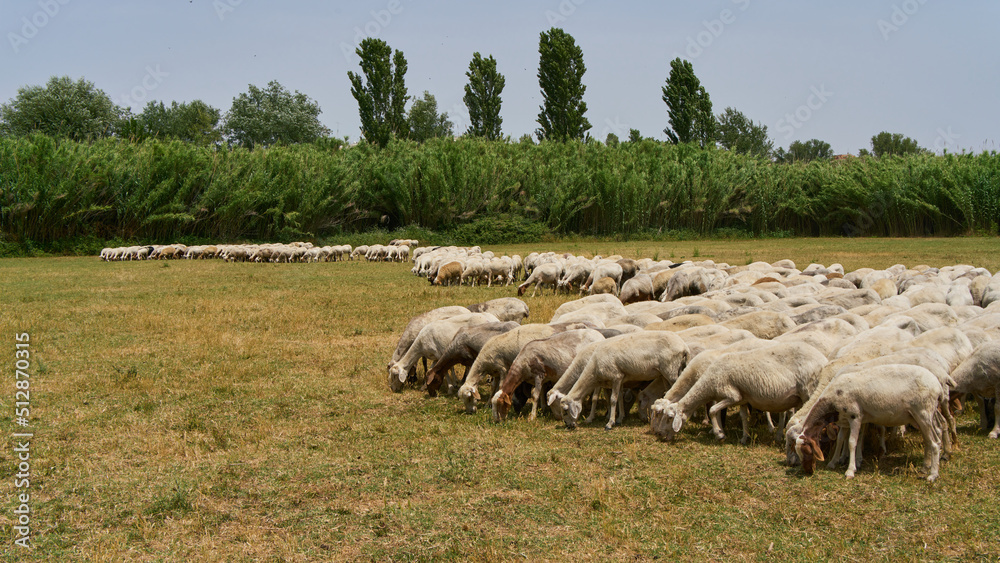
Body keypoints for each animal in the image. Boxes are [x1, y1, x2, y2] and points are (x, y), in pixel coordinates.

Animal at [560, 331, 689, 430]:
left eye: (565, 410)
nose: (568, 425)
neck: (594, 367)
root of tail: (684, 346)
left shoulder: (615, 376)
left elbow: (613, 400)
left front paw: (609, 423)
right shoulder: (621, 378)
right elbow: (620, 398)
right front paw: (620, 418)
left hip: (671, 370)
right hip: (665, 373)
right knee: (669, 391)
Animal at [667, 342, 828, 443]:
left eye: (669, 417)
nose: (663, 436)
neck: (709, 380)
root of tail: (823, 360)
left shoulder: (732, 395)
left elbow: (713, 410)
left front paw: (719, 434)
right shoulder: (743, 399)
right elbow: (743, 417)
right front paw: (745, 438)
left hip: (810, 391)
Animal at [795, 364, 945, 481]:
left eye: (807, 450)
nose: (808, 472)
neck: (832, 400)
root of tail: (938, 386)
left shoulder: (855, 416)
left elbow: (852, 442)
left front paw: (850, 471)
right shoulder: (844, 420)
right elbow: (840, 439)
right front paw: (833, 462)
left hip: (923, 413)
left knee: (935, 442)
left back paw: (933, 475)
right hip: (920, 416)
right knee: (929, 439)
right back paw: (925, 468)